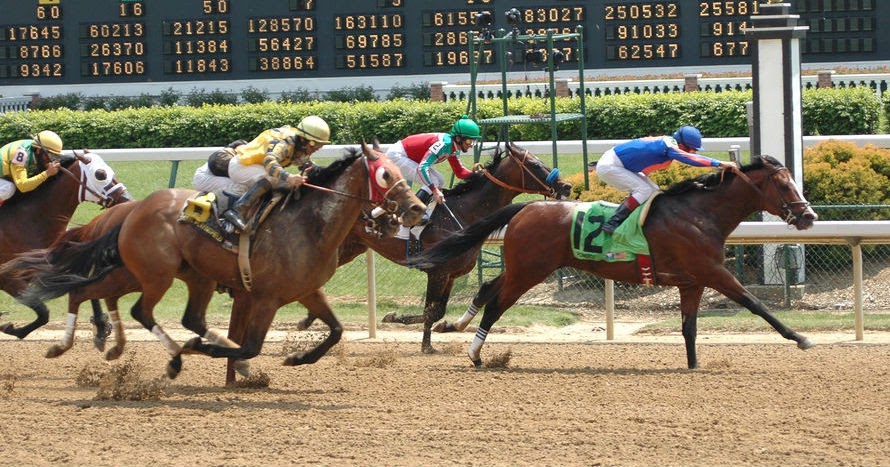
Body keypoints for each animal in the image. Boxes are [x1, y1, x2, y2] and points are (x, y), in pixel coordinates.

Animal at [0, 150, 131, 341]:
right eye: (100, 174)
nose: (126, 199)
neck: (30, 220)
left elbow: (83, 284)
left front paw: (101, 325)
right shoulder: (7, 277)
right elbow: (43, 312)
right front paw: (11, 328)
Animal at [20, 143, 426, 384]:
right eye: (386, 174)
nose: (416, 210)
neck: (309, 224)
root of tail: (134, 209)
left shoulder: (307, 291)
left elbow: (337, 330)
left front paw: (297, 358)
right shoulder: (263, 297)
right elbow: (248, 345)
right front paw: (217, 356)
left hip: (152, 273)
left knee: (91, 292)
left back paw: (72, 345)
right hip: (155, 275)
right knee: (139, 310)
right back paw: (171, 356)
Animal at [297, 142, 572, 353]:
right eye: (535, 165)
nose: (566, 186)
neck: (464, 212)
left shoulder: (450, 274)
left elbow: (437, 311)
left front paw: (425, 336)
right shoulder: (437, 271)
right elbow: (431, 311)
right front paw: (415, 336)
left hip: (351, 248)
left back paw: (308, 317)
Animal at [408, 155, 819, 369]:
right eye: (784, 185)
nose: (808, 216)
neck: (699, 214)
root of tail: (526, 206)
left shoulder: (692, 281)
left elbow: (689, 328)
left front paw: (693, 366)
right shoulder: (714, 273)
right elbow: (756, 303)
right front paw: (800, 337)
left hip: (522, 267)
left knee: (487, 287)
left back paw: (454, 327)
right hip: (530, 271)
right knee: (496, 304)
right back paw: (476, 354)